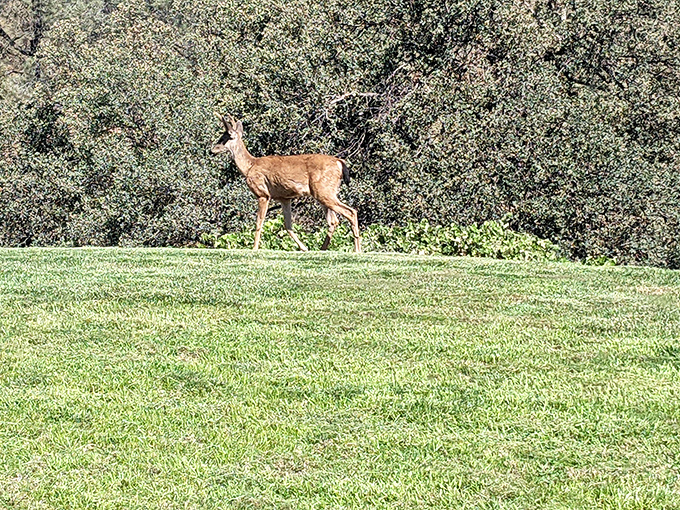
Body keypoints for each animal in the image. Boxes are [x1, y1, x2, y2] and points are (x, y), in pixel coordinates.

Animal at [210, 114, 361, 253]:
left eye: (224, 138)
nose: (212, 150)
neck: (249, 166)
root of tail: (339, 162)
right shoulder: (284, 198)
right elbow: (288, 225)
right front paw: (304, 248)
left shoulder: (263, 194)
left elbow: (259, 222)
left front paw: (254, 248)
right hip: (325, 191)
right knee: (333, 221)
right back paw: (322, 249)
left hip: (324, 190)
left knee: (351, 212)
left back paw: (357, 249)